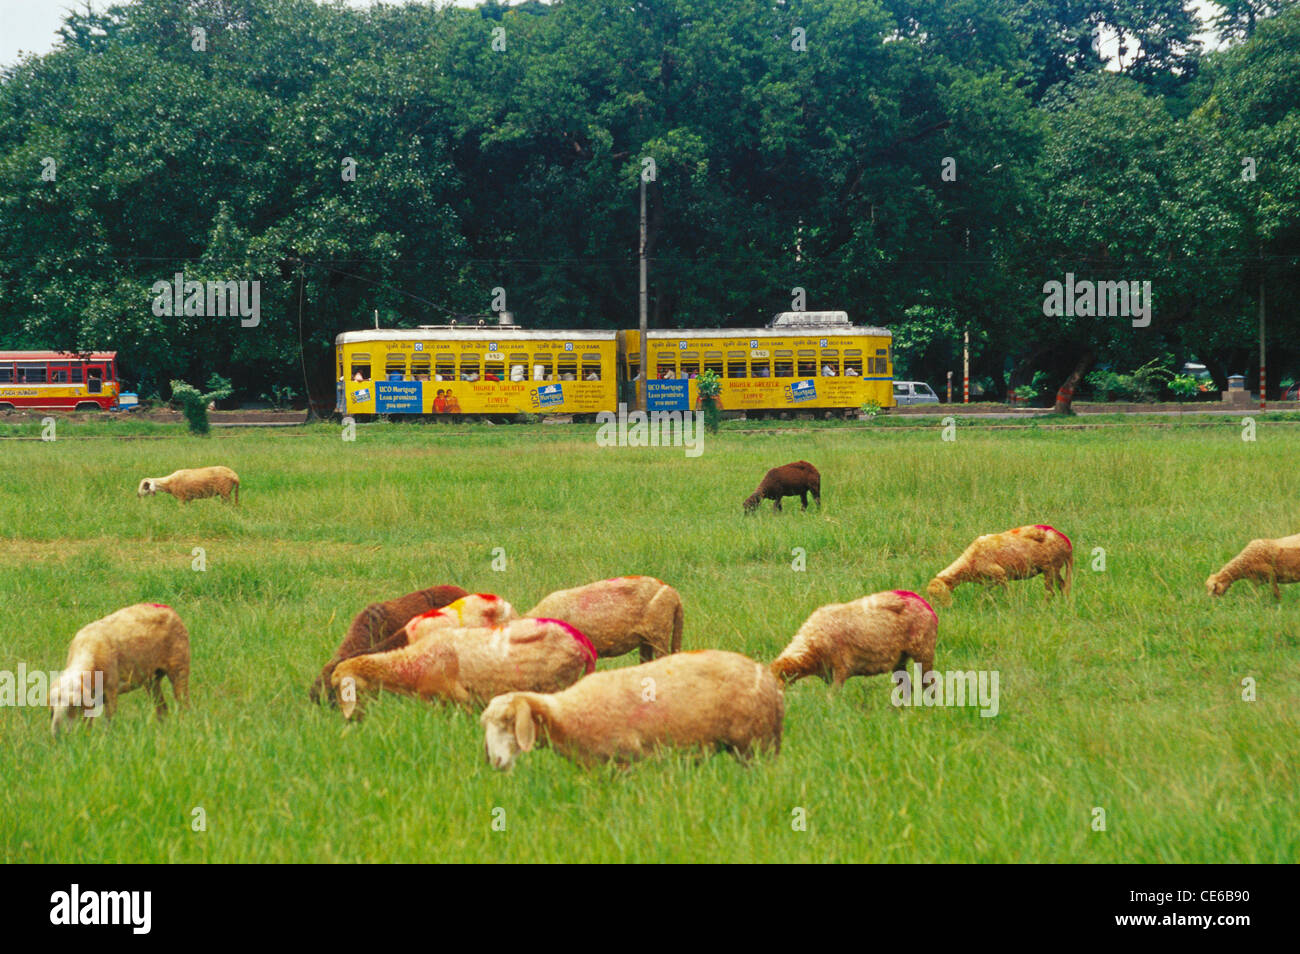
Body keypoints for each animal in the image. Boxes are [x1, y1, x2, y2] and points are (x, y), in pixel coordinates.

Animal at [50, 603, 190, 736]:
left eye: (72, 705)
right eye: (51, 707)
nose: (57, 734)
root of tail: (167, 608)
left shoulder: (111, 690)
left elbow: (109, 721)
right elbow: (88, 725)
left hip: (179, 666)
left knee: (183, 704)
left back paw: (182, 727)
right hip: (152, 679)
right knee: (162, 708)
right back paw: (163, 730)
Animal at [330, 617, 597, 719]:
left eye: (340, 688)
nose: (350, 719)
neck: (411, 665)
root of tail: (582, 643)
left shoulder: (457, 699)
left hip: (558, 681)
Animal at [480, 649, 783, 770]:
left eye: (509, 720)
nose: (496, 762)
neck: (566, 714)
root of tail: (771, 683)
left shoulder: (626, 760)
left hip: (755, 745)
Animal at [770, 590, 937, 693]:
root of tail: (921, 600)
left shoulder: (841, 667)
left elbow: (833, 696)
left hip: (924, 650)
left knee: (930, 683)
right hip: (900, 660)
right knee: (908, 687)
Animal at [926, 524, 1073, 606]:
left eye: (936, 596)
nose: (937, 610)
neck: (969, 562)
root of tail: (1066, 543)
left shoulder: (1000, 574)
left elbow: (1006, 593)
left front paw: (1008, 604)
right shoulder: (989, 581)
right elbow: (984, 594)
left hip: (1051, 568)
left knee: (1050, 592)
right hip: (1055, 569)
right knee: (1062, 585)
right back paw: (1063, 602)